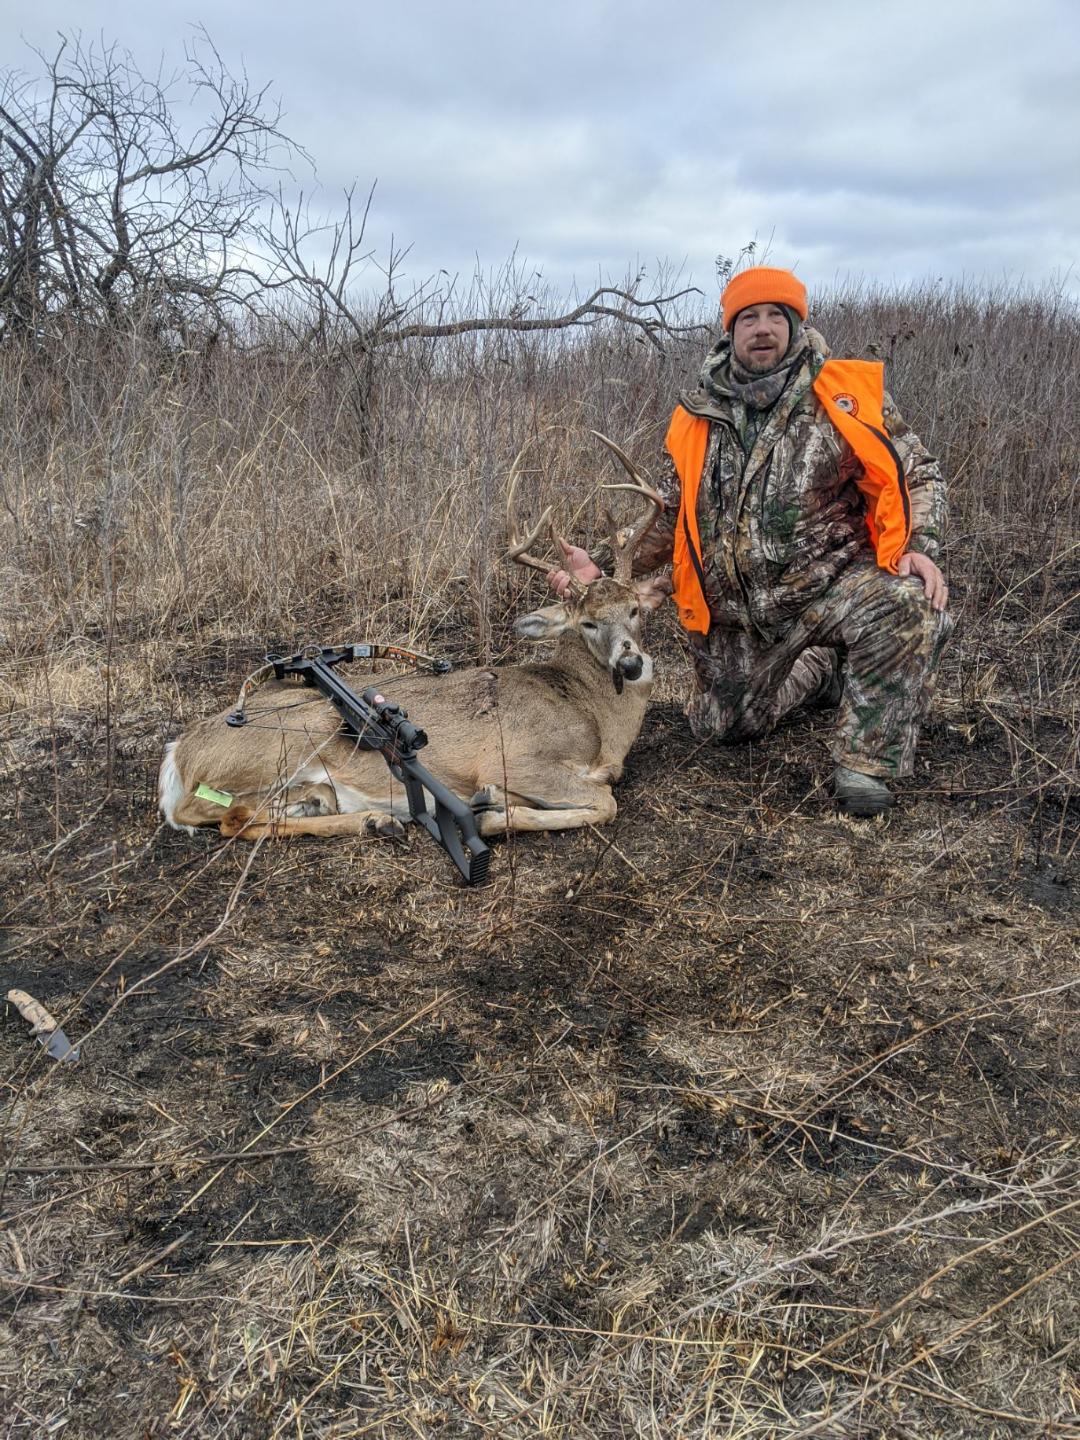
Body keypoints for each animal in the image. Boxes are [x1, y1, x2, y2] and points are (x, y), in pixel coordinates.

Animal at [157, 435, 671, 845]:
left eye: (634, 610)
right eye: (587, 623)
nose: (630, 664)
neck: (595, 718)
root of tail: (177, 754)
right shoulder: (519, 758)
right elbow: (605, 802)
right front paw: (491, 810)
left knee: (252, 813)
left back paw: (359, 815)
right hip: (284, 742)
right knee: (219, 815)